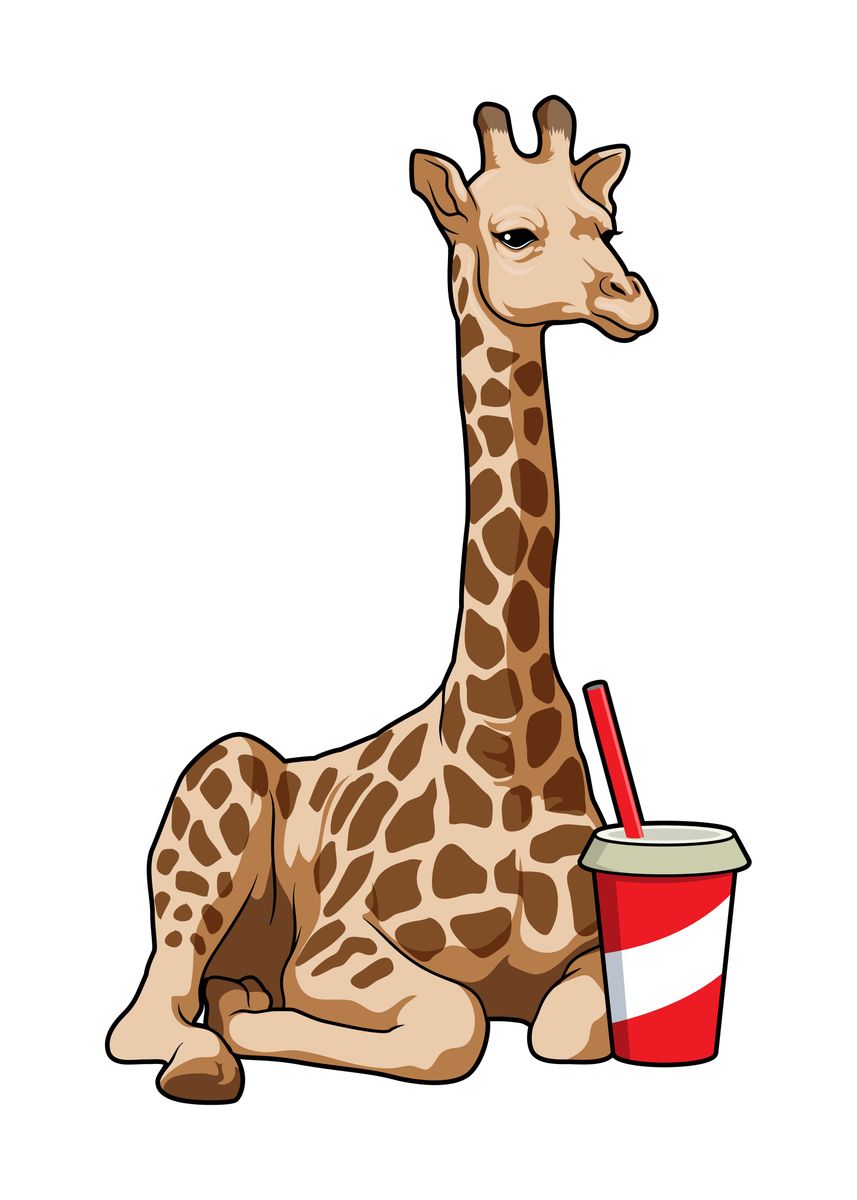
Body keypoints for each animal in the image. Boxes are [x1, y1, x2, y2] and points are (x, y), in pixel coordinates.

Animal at [107, 96, 656, 1102]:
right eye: (513, 233)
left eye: (609, 226)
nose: (627, 299)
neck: (504, 743)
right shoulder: (337, 949)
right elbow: (454, 1027)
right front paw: (250, 1021)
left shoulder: (592, 946)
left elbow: (568, 1029)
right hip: (219, 776)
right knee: (144, 1018)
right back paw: (206, 1051)